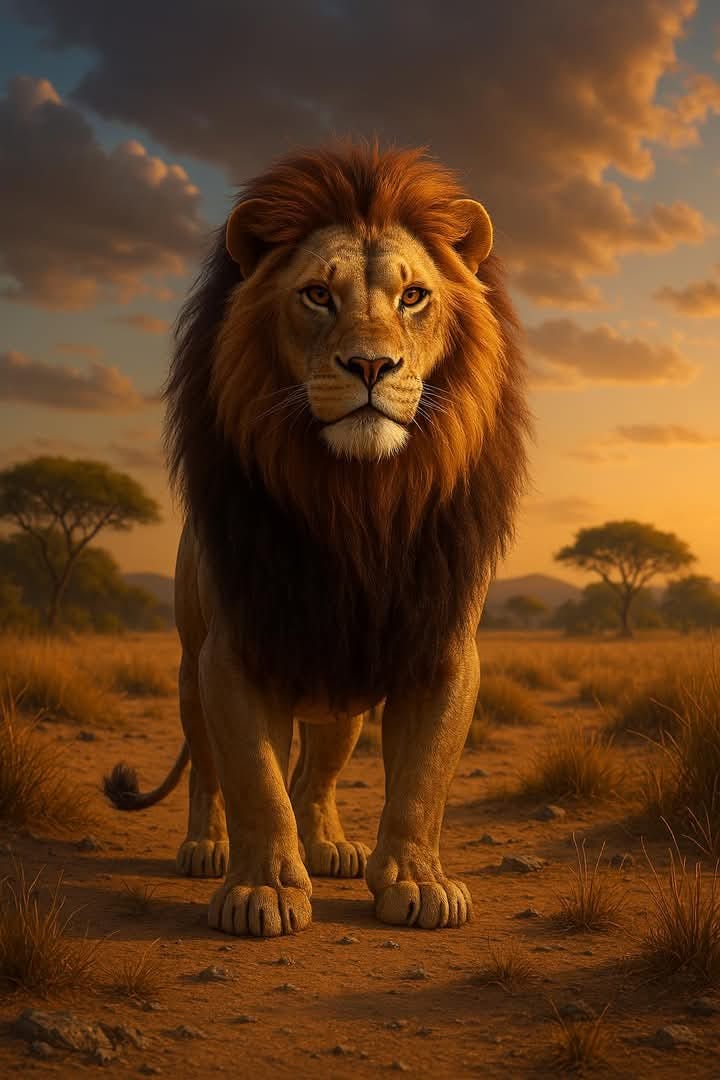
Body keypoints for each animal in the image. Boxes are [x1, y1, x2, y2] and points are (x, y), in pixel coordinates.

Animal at [104, 139, 530, 938]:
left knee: (317, 773)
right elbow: (253, 780)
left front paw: (418, 881)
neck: (358, 500)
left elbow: (423, 780)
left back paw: (329, 845)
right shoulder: (236, 648)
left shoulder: (441, 645)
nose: (371, 365)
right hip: (187, 673)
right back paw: (207, 848)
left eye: (413, 296)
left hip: (343, 695)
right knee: (208, 770)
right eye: (317, 296)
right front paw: (262, 890)